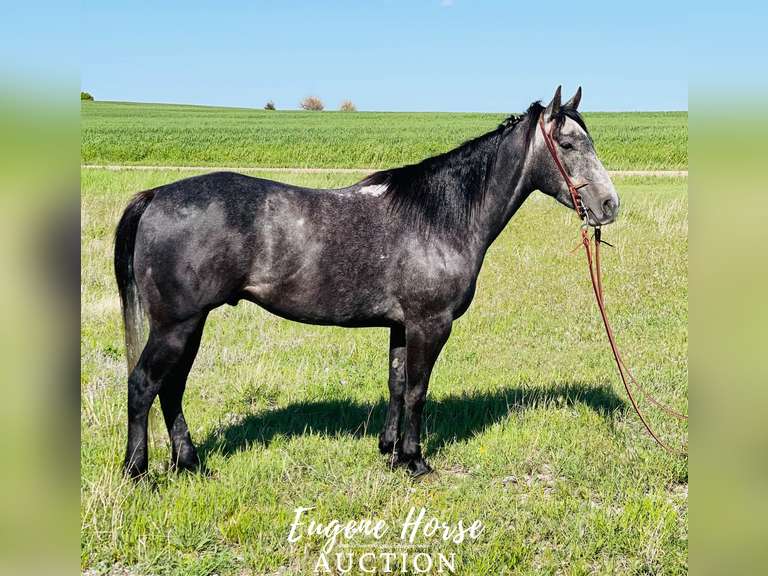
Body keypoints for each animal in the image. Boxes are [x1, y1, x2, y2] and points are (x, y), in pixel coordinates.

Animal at [115, 86, 620, 478]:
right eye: (569, 145)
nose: (610, 205)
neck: (440, 216)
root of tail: (156, 195)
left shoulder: (401, 325)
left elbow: (396, 384)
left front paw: (390, 452)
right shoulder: (430, 324)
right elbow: (417, 389)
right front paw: (415, 460)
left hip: (191, 324)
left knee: (171, 389)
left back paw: (190, 463)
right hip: (176, 325)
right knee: (144, 384)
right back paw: (137, 471)